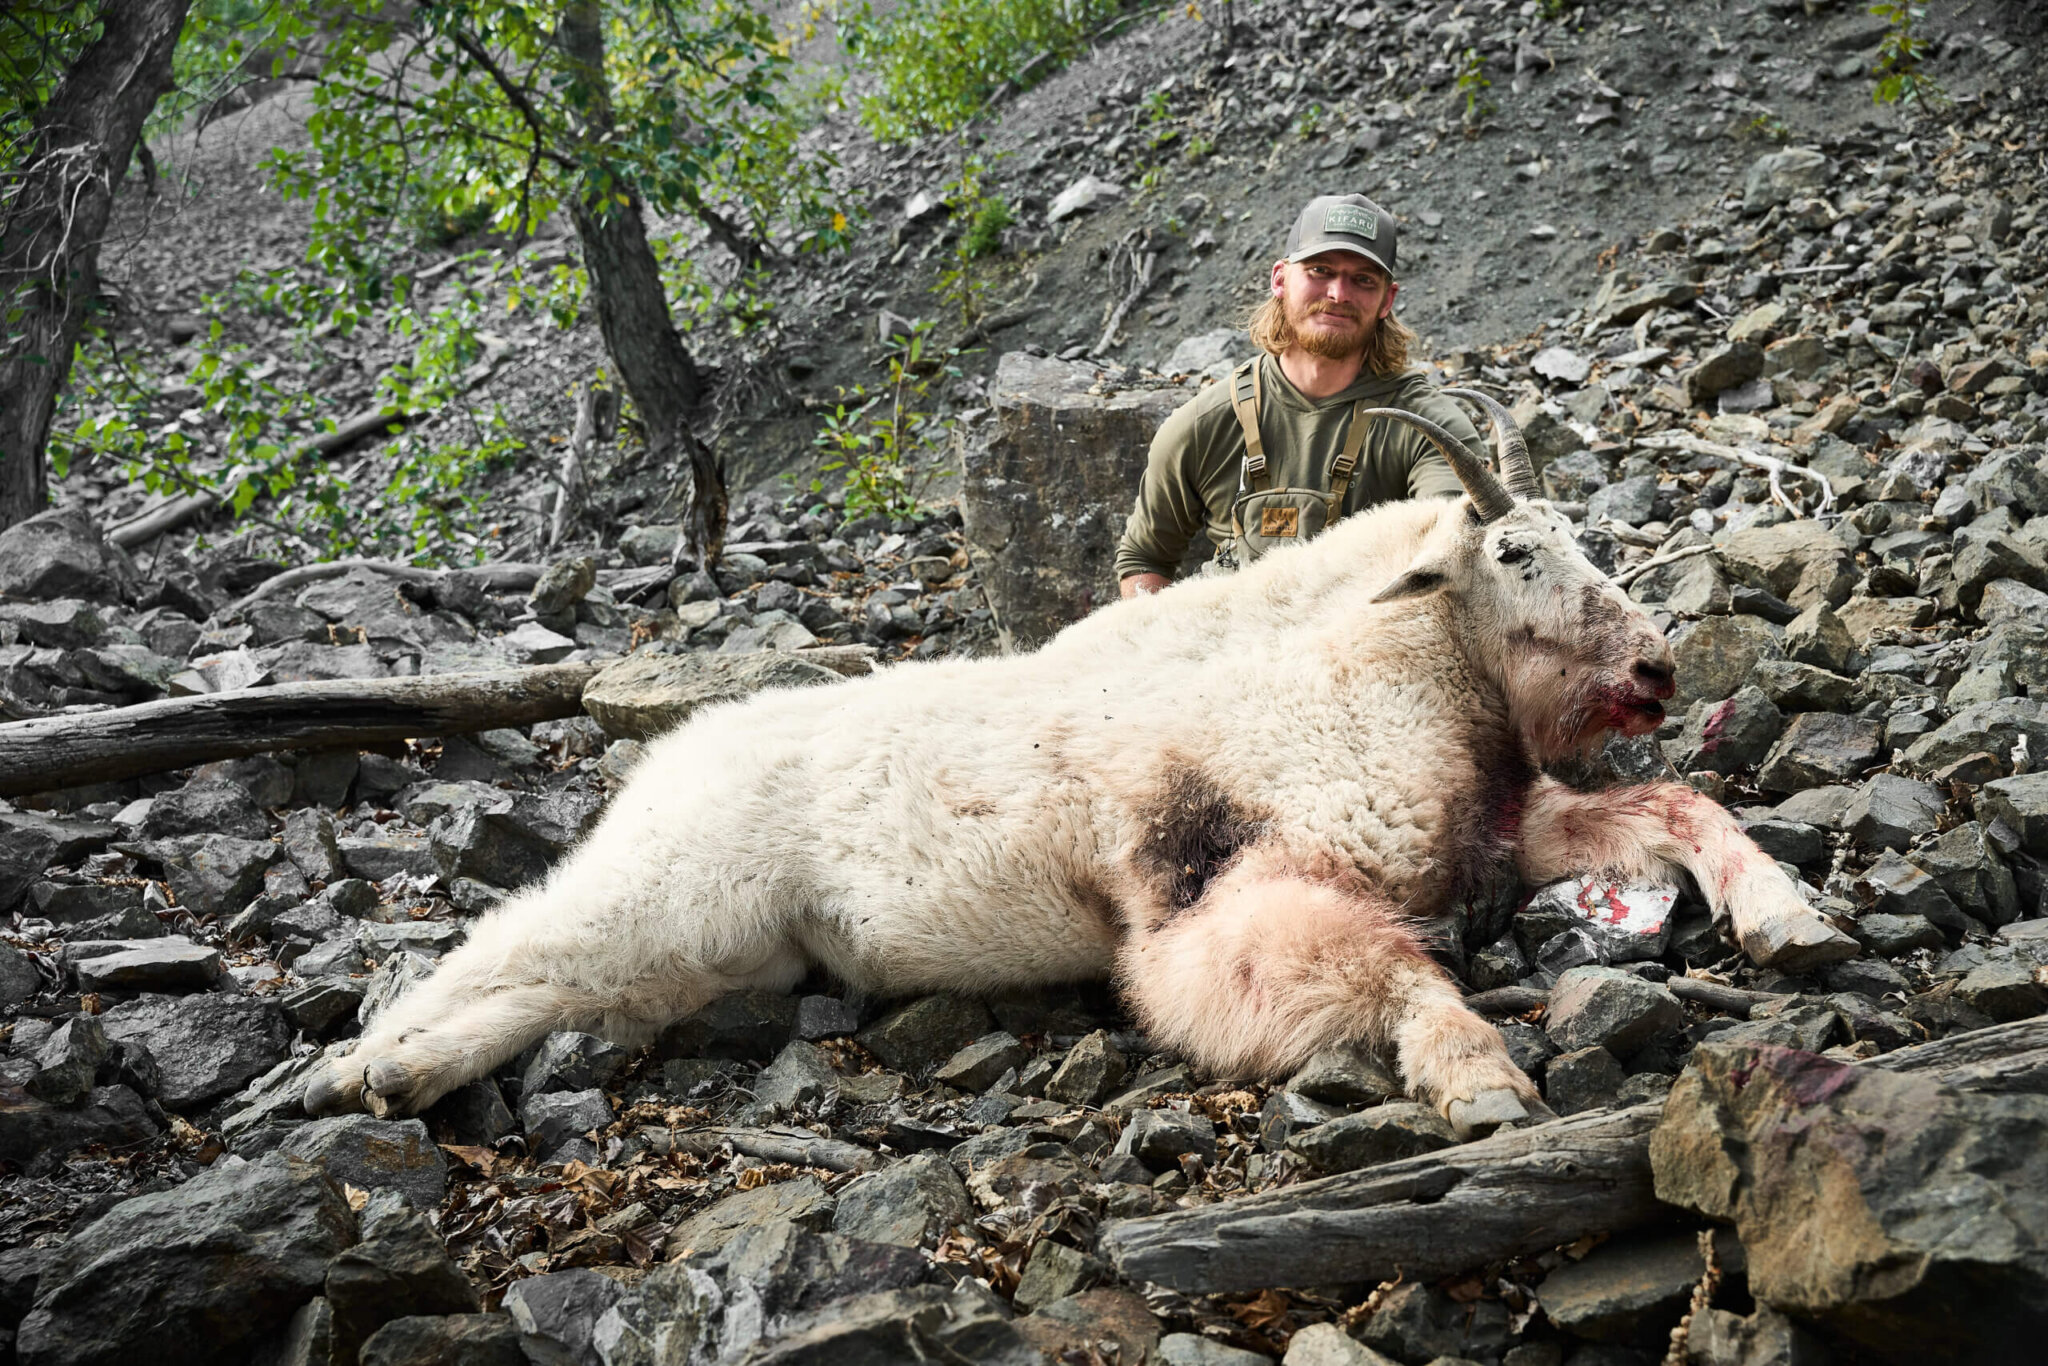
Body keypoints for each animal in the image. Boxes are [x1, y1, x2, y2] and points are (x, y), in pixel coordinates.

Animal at [305, 392, 1855, 1136]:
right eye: (1519, 548)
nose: (1654, 668)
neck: (1373, 662)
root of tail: (676, 752)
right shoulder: (1202, 900)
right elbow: (1388, 964)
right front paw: (1478, 1079)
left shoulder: (1484, 832)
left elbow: (1675, 803)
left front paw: (1789, 919)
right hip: (674, 885)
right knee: (513, 939)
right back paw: (359, 1071)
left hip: (728, 951)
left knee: (576, 990)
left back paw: (395, 1081)